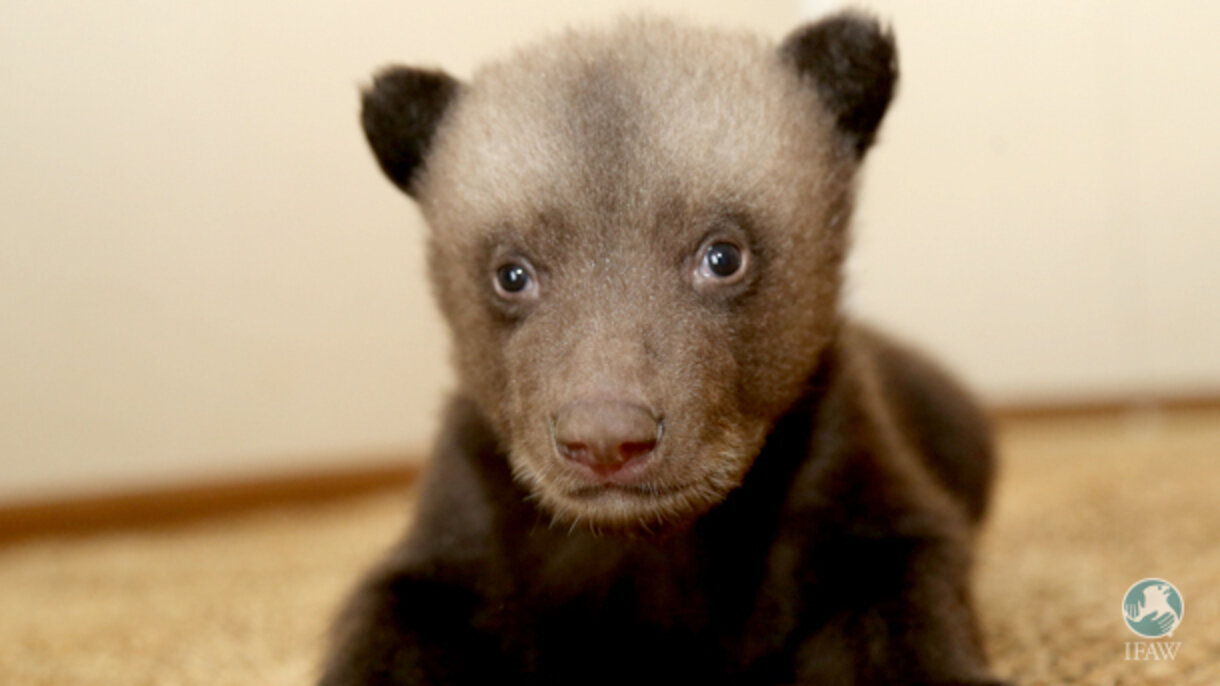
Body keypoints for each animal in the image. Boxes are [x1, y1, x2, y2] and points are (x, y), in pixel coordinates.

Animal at [321, 11, 1002, 686]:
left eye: (723, 255)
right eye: (511, 273)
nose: (605, 440)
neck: (654, 544)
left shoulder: (848, 494)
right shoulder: (465, 531)